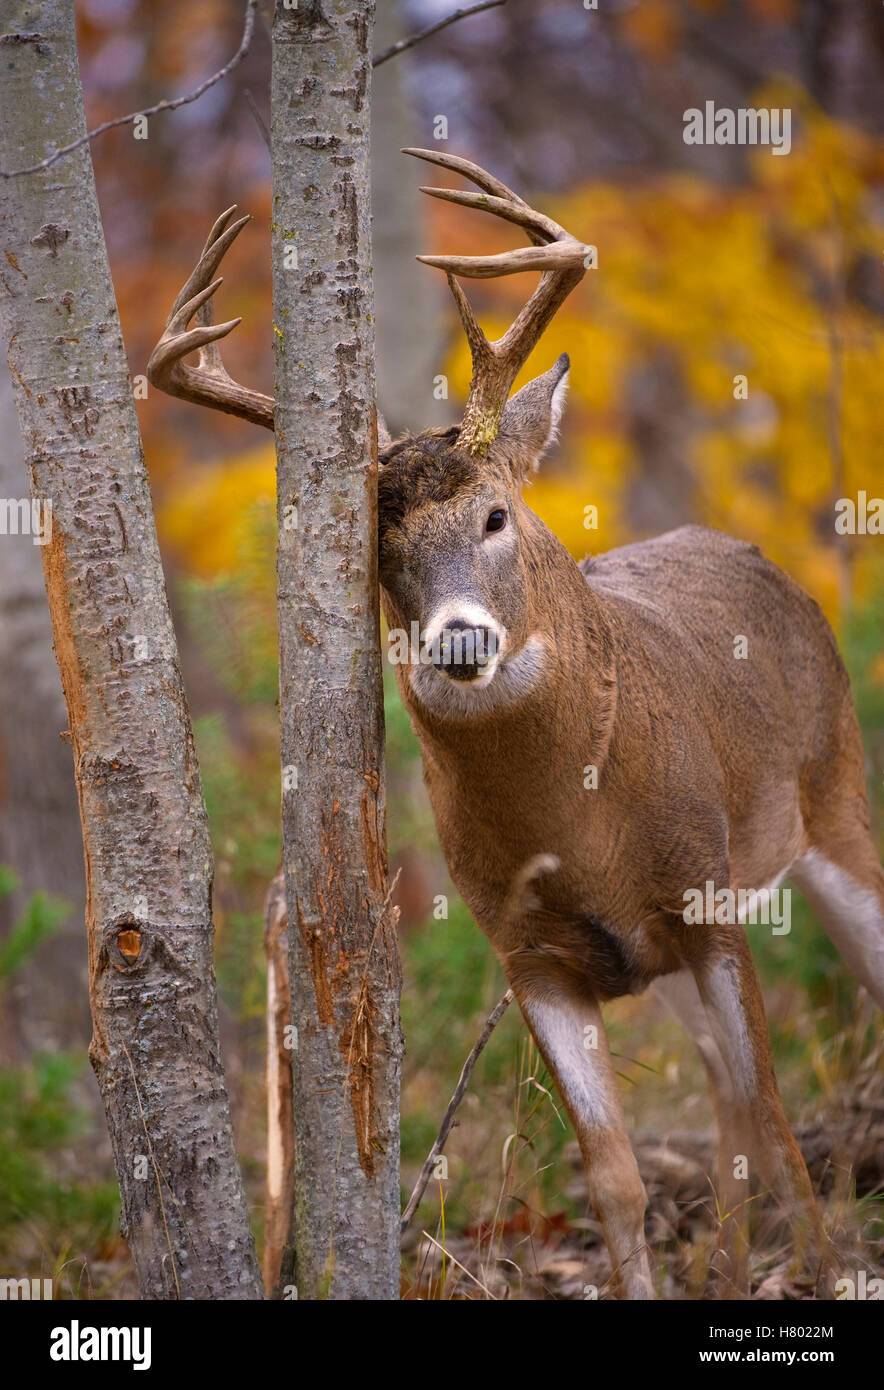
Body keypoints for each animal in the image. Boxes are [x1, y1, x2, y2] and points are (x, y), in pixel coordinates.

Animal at [148, 149, 884, 1300]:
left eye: (494, 515)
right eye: (381, 553)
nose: (457, 641)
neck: (582, 818)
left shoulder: (709, 901)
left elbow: (776, 1122)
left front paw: (829, 1268)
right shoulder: (528, 952)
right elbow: (617, 1175)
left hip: (835, 800)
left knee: (792, 1054)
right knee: (717, 1092)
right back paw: (722, 1270)